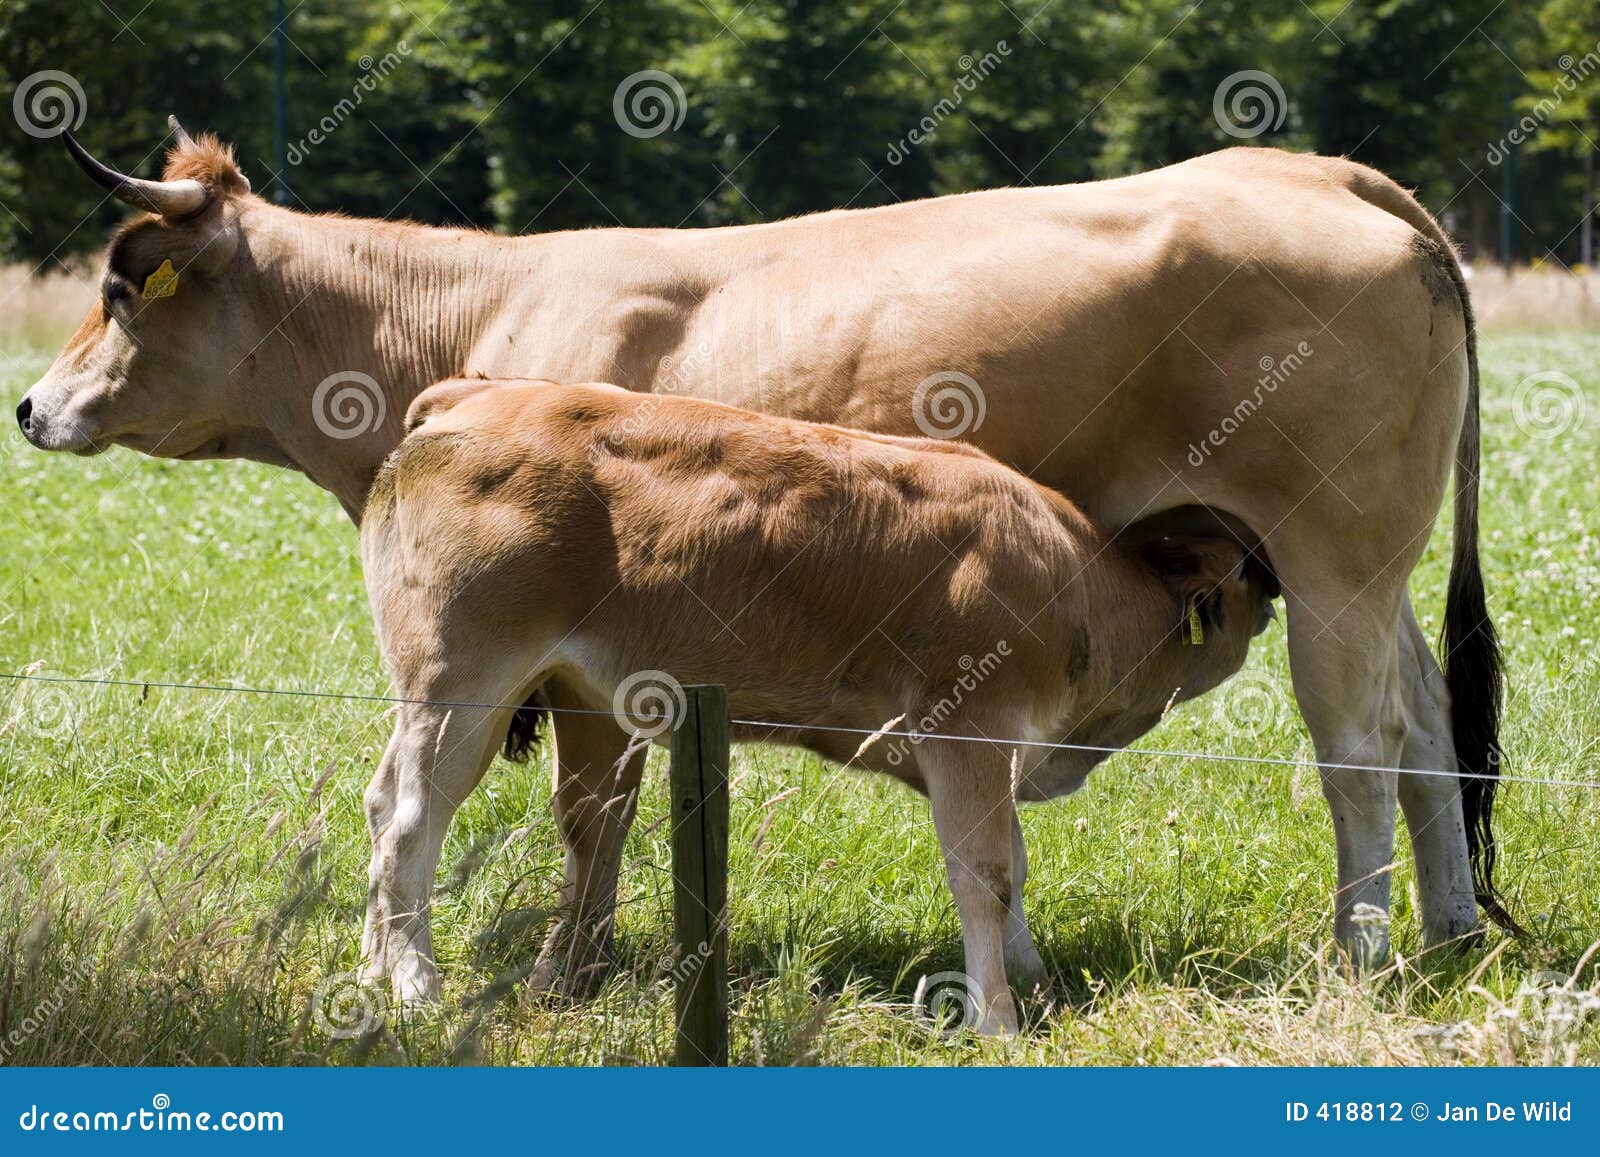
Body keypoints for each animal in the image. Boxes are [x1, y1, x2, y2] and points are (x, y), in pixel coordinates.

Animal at [362, 377, 1281, 1032]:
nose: (1279, 593)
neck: (1071, 573)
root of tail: (474, 394)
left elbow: (1013, 867)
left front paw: (1033, 979)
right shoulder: (969, 726)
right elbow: (983, 872)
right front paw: (997, 1020)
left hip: (562, 698)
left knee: (402, 809)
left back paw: (375, 973)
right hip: (460, 686)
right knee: (410, 825)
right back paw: (412, 986)